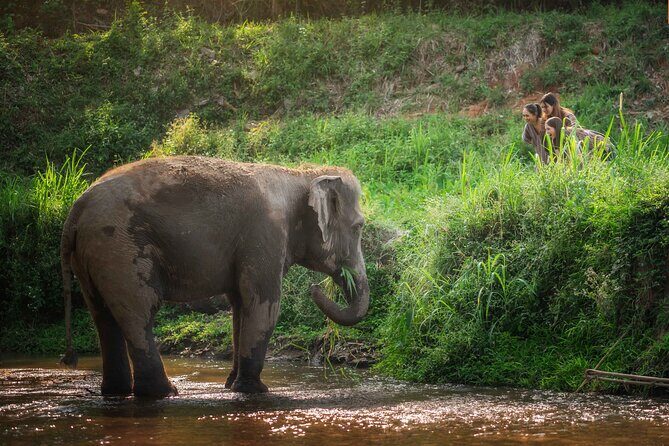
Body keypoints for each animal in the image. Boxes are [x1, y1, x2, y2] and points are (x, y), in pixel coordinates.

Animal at [59, 156, 369, 397]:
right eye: (358, 227)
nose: (316, 288)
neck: (298, 175)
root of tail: (76, 208)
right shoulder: (264, 234)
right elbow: (263, 305)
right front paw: (255, 390)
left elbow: (240, 306)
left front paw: (232, 385)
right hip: (119, 248)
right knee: (140, 311)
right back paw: (163, 393)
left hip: (93, 256)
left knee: (103, 317)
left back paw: (116, 392)